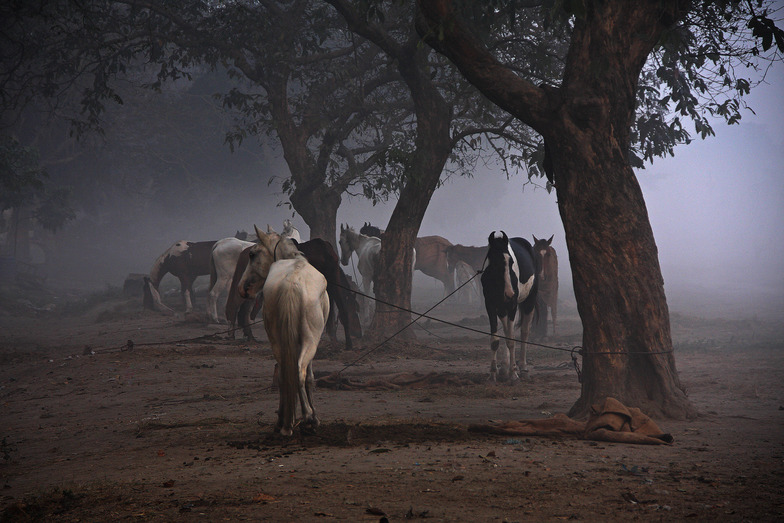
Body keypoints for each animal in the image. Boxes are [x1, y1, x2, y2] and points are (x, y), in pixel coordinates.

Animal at [236, 223, 328, 436]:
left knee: (284, 374)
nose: (242, 288)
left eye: (252, 254)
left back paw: (283, 423)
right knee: (299, 371)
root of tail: (292, 282)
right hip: (311, 340)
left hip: (276, 339)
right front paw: (313, 417)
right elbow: (310, 377)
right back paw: (308, 417)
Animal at [478, 231, 540, 382]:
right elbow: (495, 341)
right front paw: (493, 374)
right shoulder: (490, 305)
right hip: (502, 309)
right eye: (494, 262)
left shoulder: (512, 306)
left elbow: (511, 340)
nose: (510, 293)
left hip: (528, 302)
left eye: (511, 262)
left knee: (524, 332)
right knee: (507, 330)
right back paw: (504, 367)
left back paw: (522, 368)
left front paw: (513, 374)